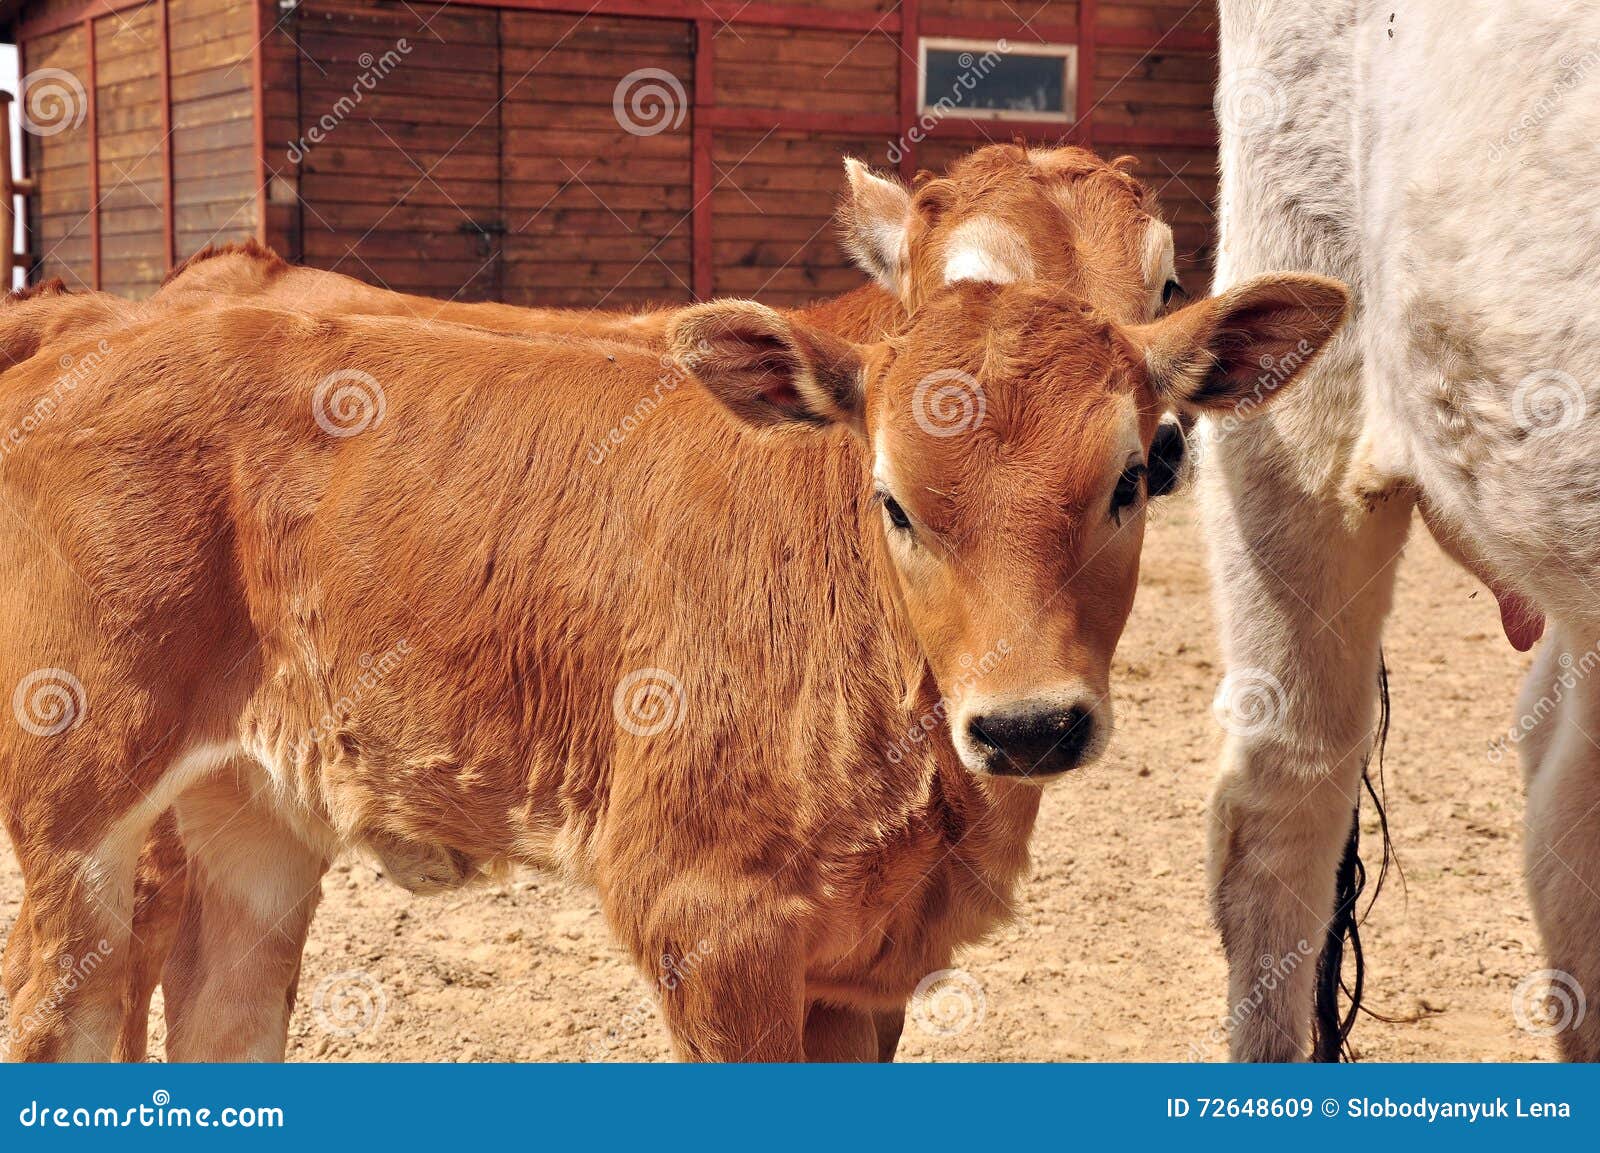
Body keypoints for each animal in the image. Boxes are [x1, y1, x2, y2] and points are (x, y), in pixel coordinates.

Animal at [11, 141, 1192, 1060]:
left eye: (1168, 287)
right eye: (966, 284)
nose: (1168, 437)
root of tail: (97, 329)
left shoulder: (873, 960)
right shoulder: (706, 914)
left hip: (251, 805)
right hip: (79, 797)